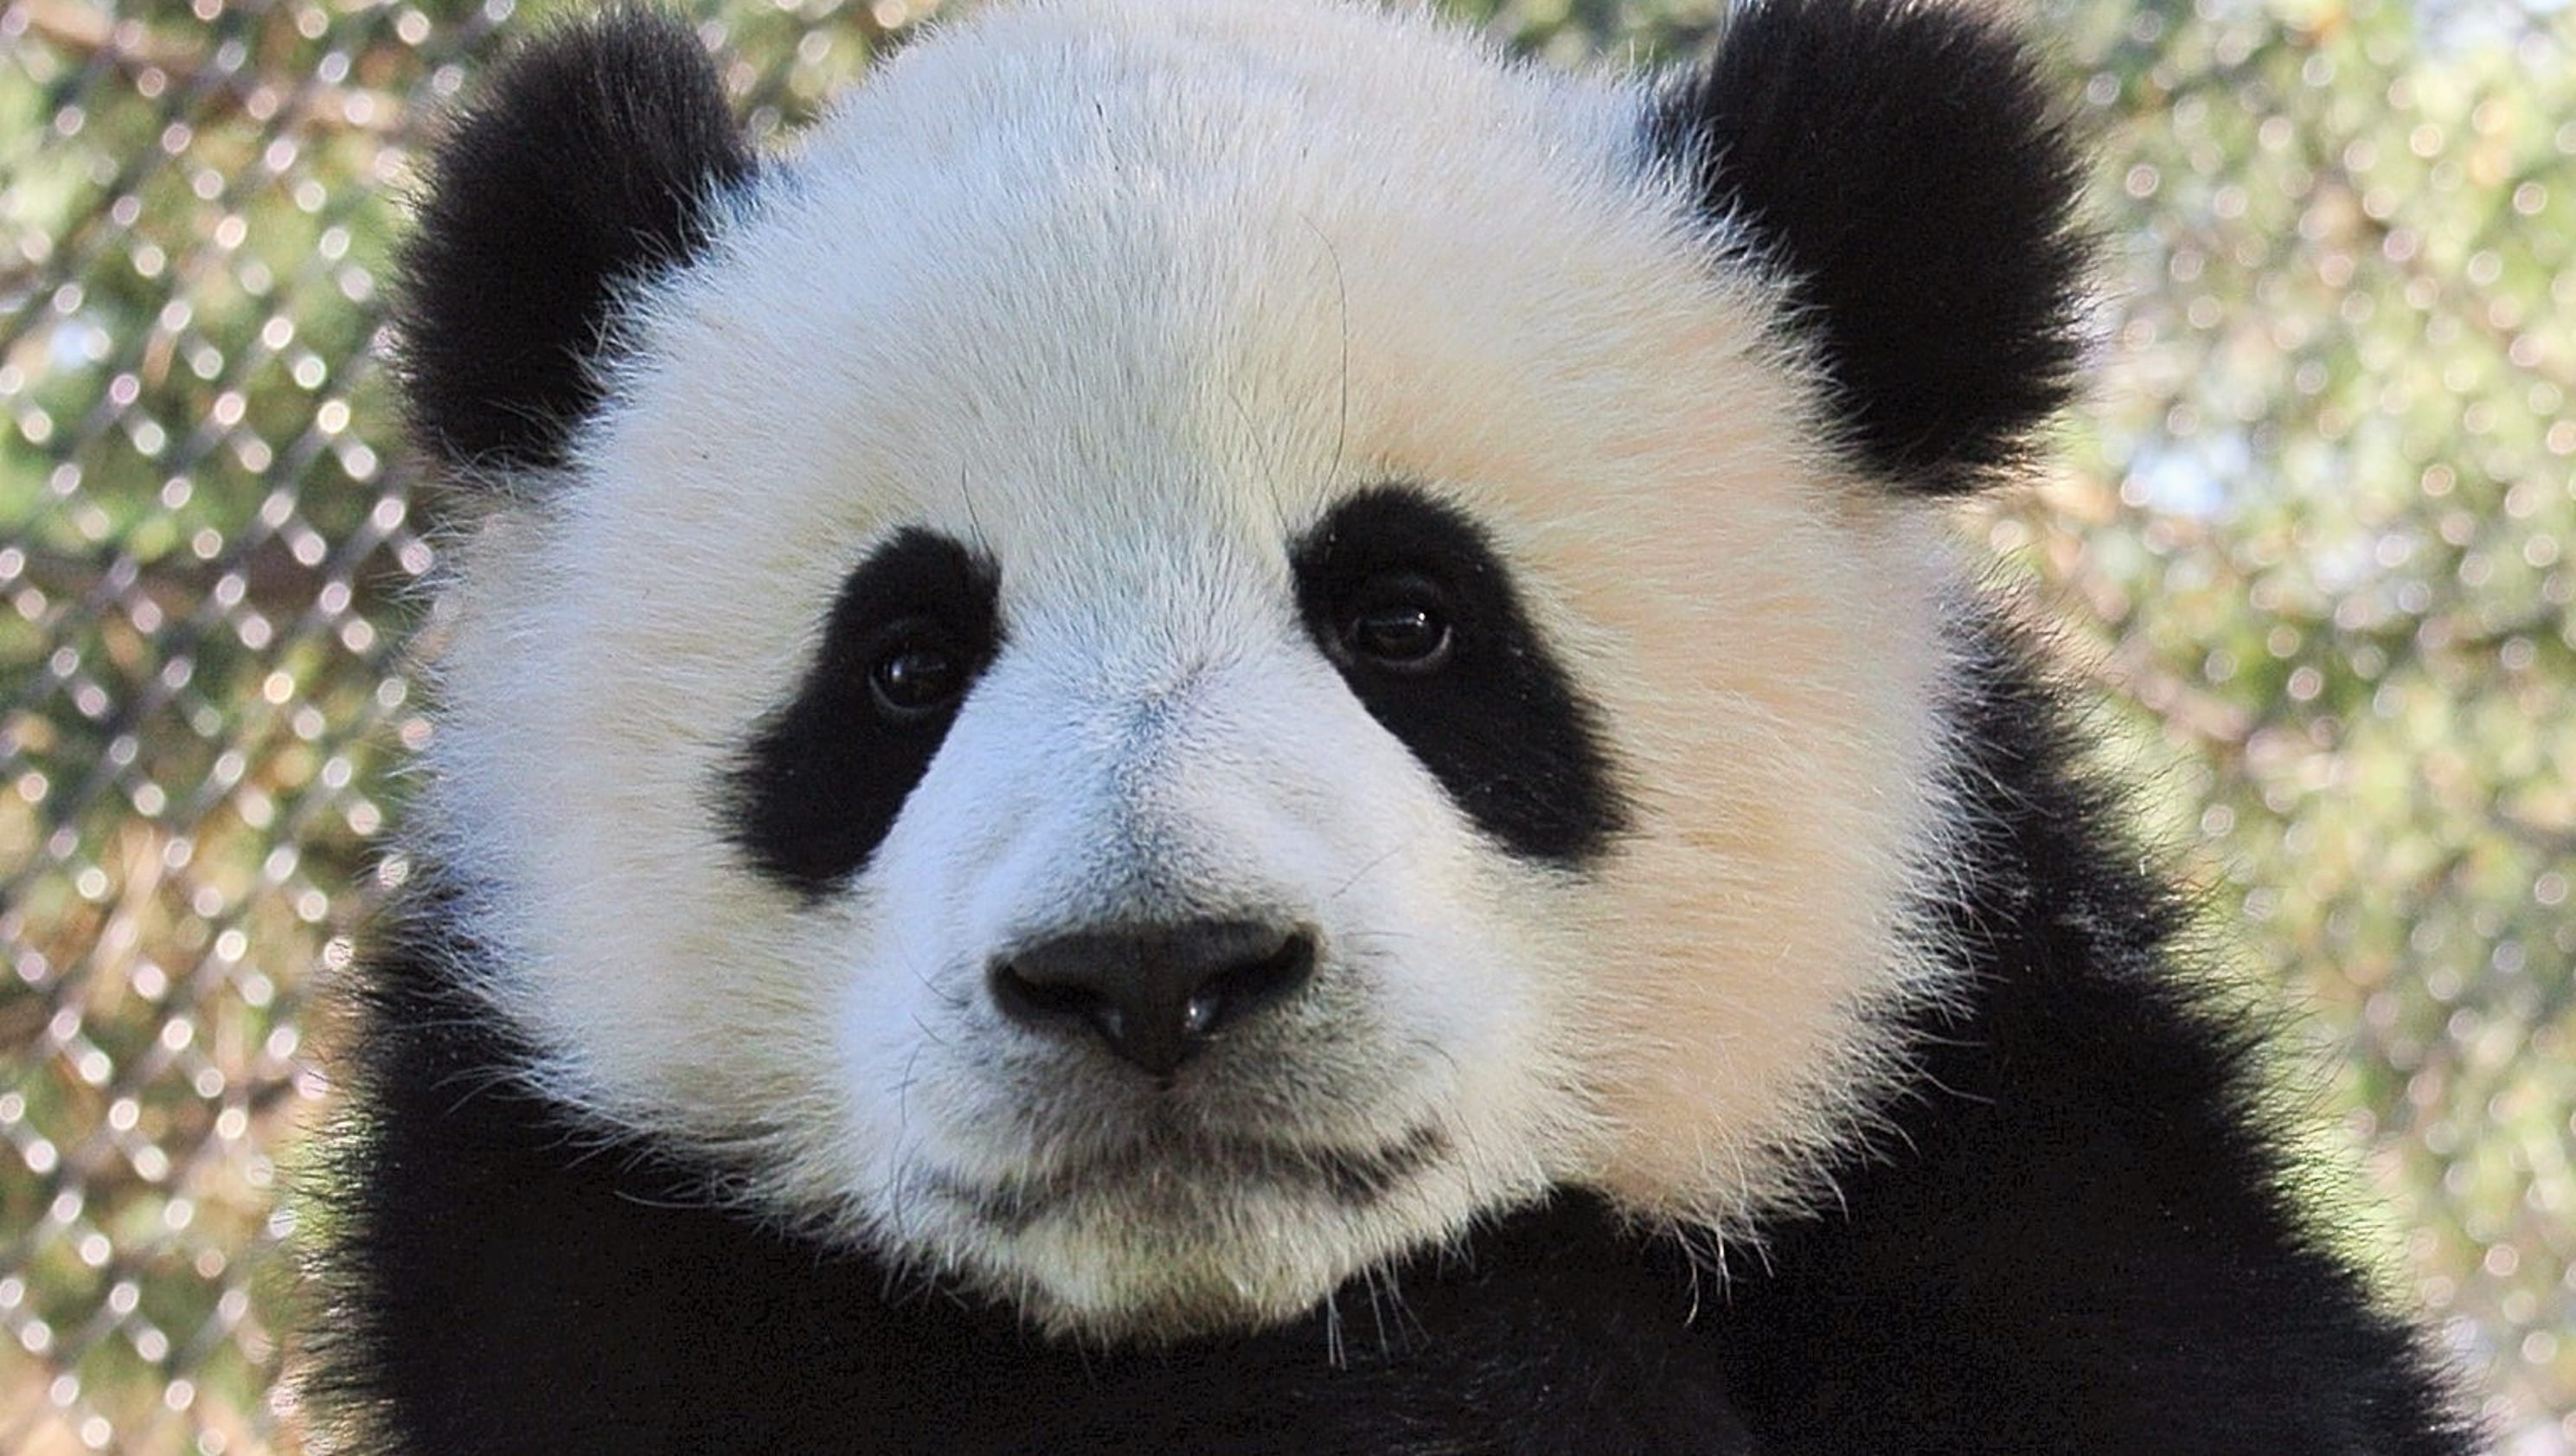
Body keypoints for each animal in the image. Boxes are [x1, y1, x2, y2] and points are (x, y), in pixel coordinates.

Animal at [309, 0, 2480, 1451]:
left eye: (1412, 621)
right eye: (903, 664)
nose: (1155, 968)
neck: (1262, 1321)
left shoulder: (2020, 1130)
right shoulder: (592, 1269)